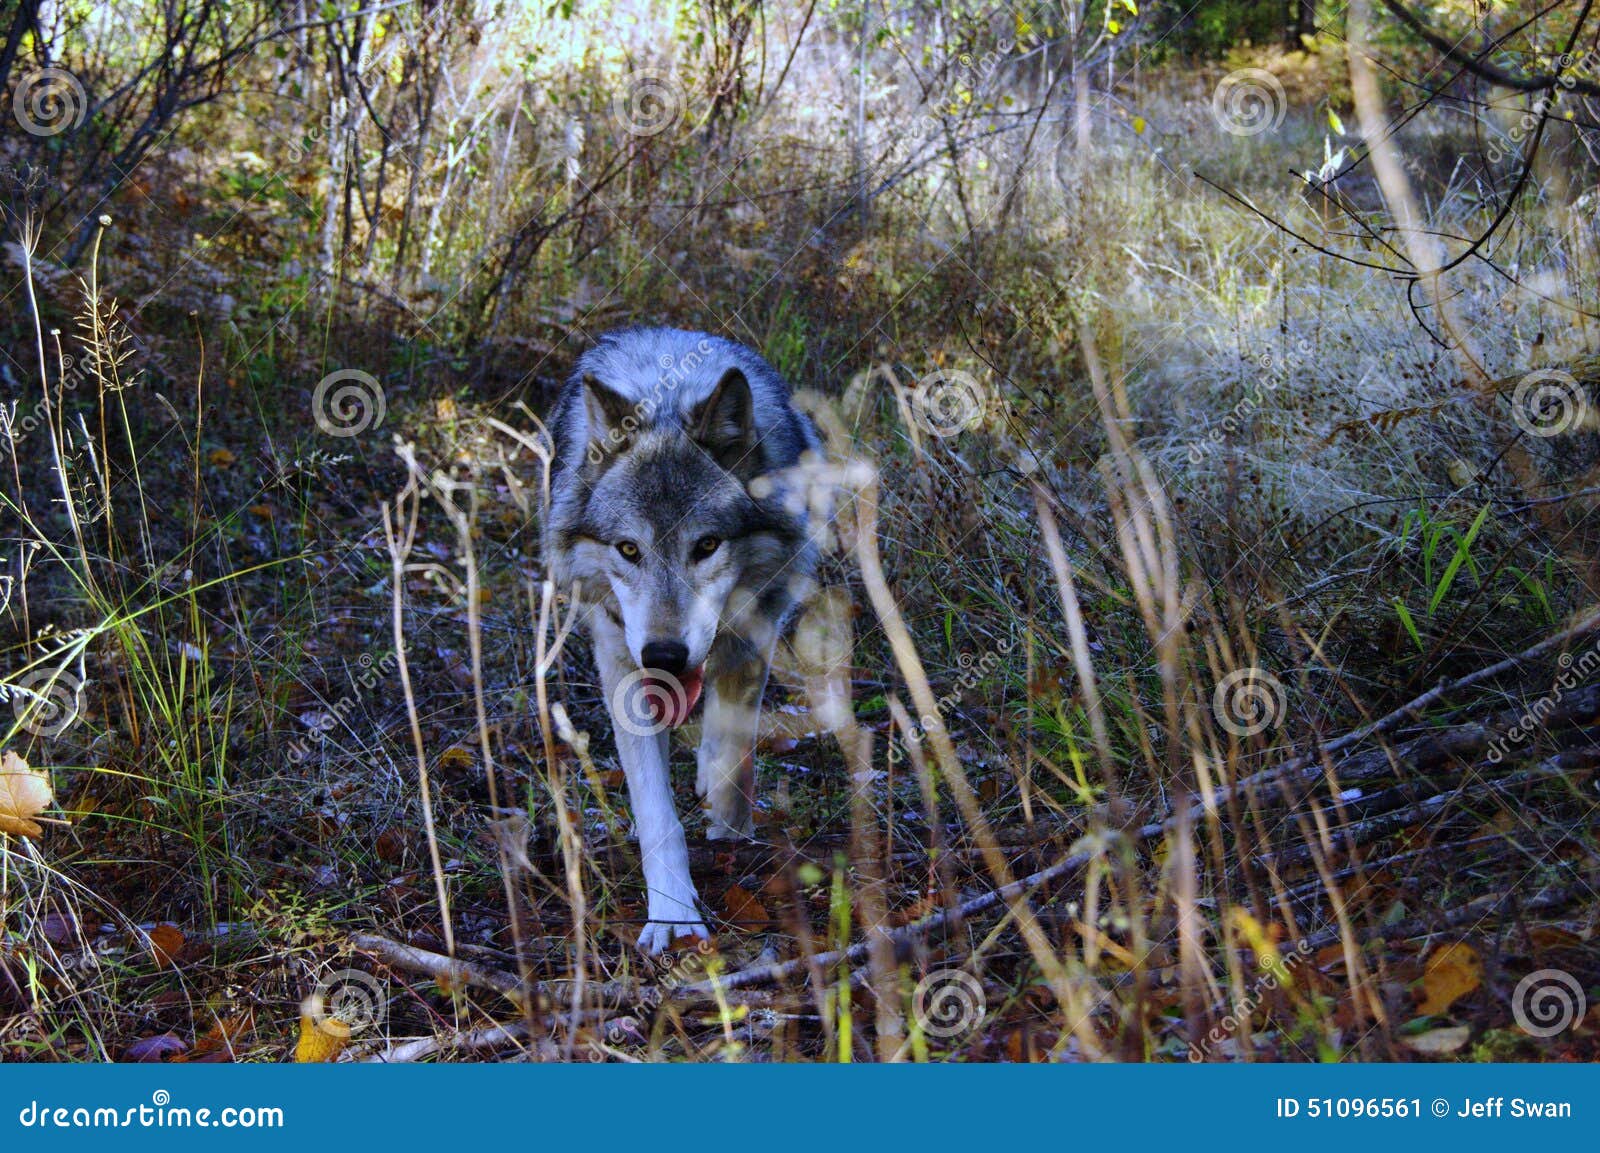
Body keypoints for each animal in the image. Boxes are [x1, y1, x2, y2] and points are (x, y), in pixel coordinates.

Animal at [546, 327, 821, 952]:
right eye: (628, 549)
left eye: (707, 545)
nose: (665, 656)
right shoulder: (623, 664)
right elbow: (656, 815)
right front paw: (672, 915)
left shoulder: (753, 638)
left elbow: (734, 757)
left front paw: (729, 832)